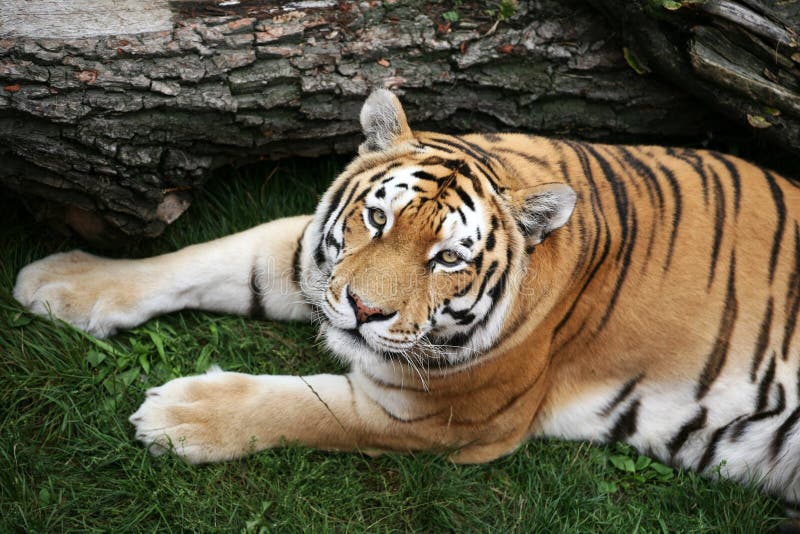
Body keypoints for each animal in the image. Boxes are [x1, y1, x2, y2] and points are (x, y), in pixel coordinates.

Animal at [12, 89, 800, 507]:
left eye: (448, 259)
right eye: (377, 218)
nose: (364, 311)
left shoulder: (440, 415)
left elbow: (304, 406)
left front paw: (182, 416)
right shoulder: (306, 256)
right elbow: (200, 258)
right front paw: (62, 282)